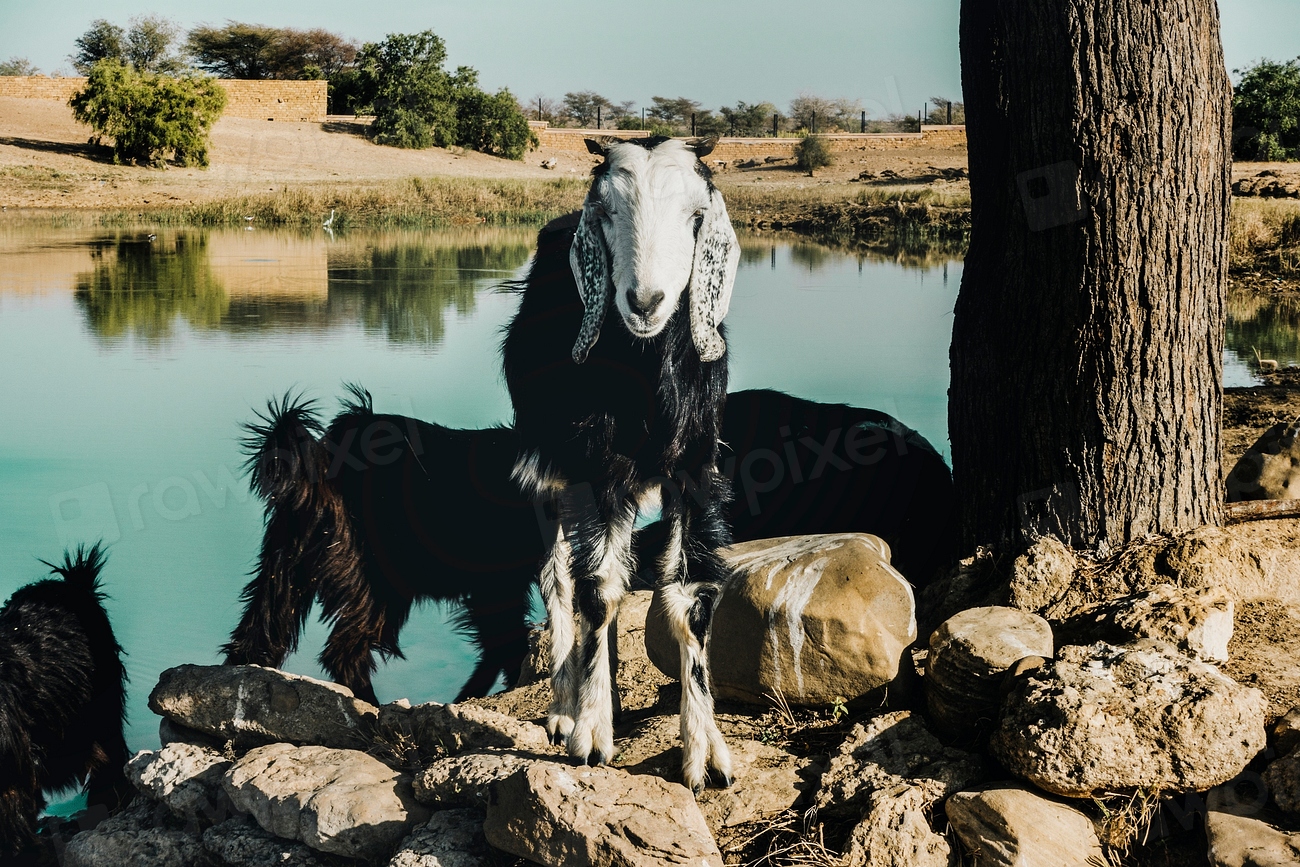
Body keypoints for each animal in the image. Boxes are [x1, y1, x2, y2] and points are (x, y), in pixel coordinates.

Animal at [222, 387, 547, 705]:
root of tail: (324, 457)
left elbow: (499, 644)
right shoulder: (496, 584)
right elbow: (507, 641)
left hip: (285, 566)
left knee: (259, 633)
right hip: (374, 583)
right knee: (344, 651)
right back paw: (368, 706)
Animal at [502, 136, 740, 792]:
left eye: (696, 216)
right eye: (606, 212)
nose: (645, 301)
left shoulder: (697, 469)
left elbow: (689, 599)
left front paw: (706, 754)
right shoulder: (593, 469)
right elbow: (598, 591)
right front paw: (590, 734)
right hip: (548, 470)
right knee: (559, 579)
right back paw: (566, 706)